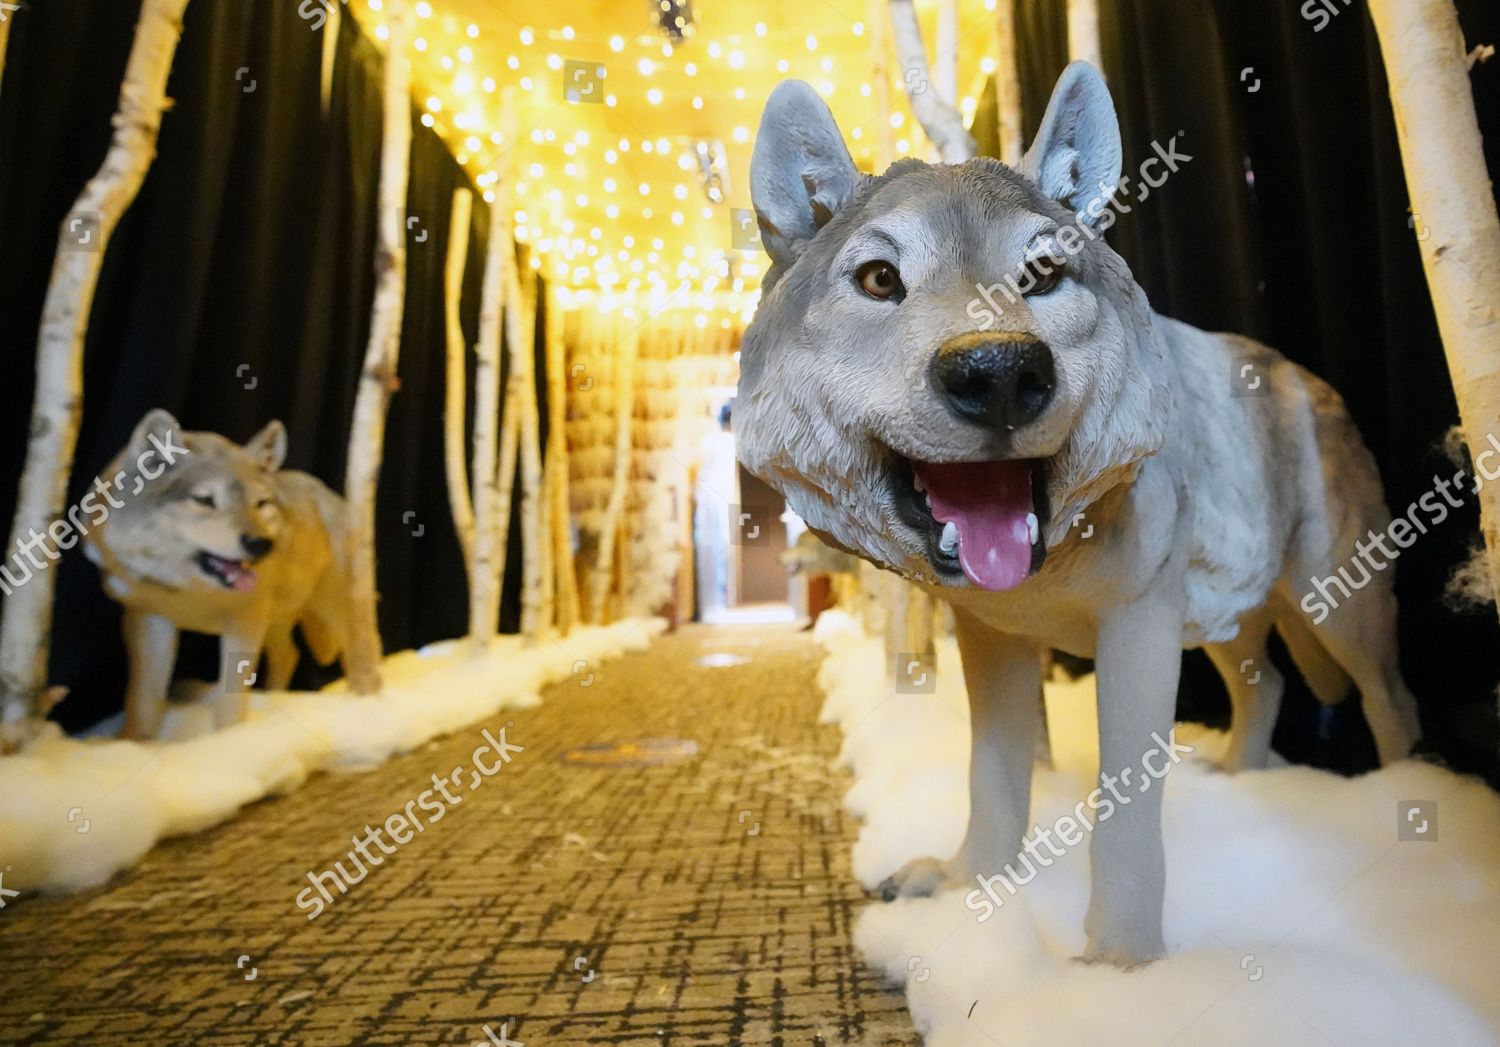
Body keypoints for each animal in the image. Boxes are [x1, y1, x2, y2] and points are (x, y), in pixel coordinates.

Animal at [86, 409, 349, 739]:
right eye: (205, 500)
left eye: (260, 504)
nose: (261, 544)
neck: (191, 590)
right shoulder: (148, 621)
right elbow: (142, 702)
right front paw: (131, 743)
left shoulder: (245, 622)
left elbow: (230, 703)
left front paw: (228, 741)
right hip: (276, 622)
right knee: (288, 654)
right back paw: (275, 702)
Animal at [737, 63, 1420, 966]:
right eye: (880, 279)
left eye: (1043, 276)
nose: (998, 371)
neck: (1045, 567)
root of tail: (1307, 377)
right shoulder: (992, 638)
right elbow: (992, 781)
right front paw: (964, 887)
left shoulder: (1138, 631)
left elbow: (1126, 829)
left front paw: (1121, 967)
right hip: (1230, 617)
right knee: (1269, 684)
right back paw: (1238, 779)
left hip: (1335, 610)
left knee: (1392, 704)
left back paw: (1405, 815)